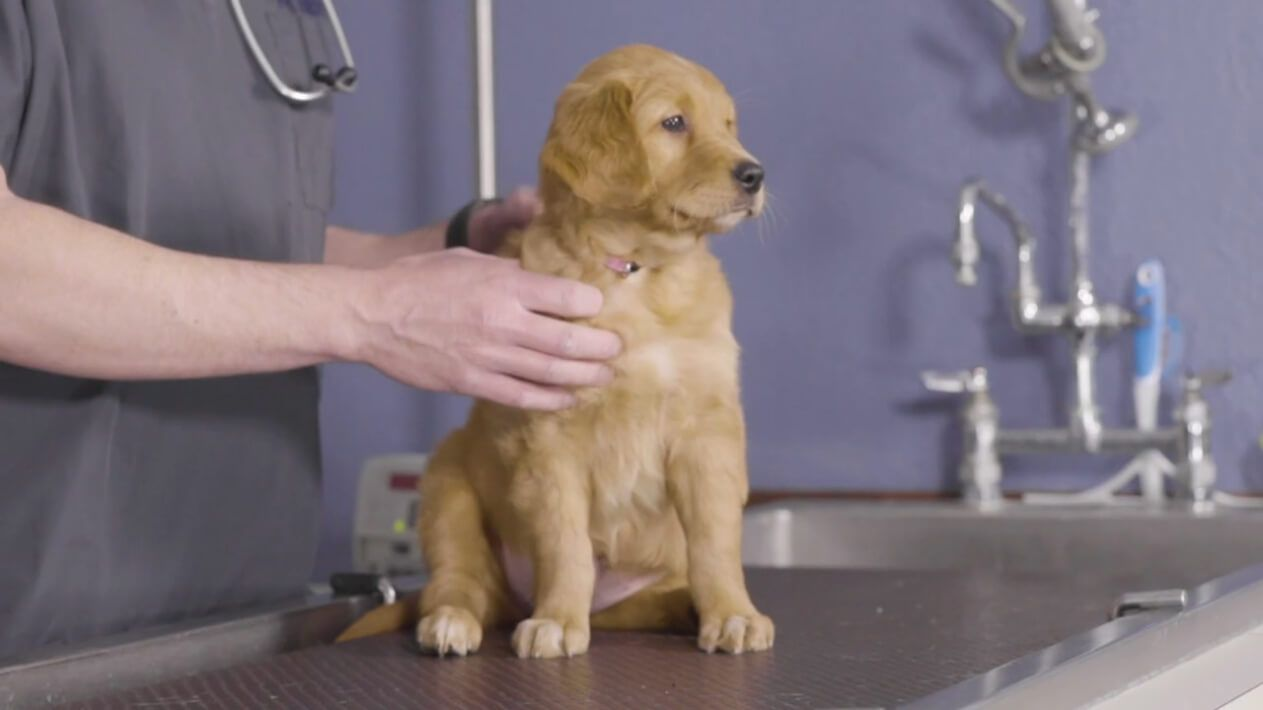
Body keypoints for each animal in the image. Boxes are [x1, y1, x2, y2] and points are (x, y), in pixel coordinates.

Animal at [335, 44, 767, 656]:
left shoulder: (708, 432)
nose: (754, 174)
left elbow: (715, 541)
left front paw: (733, 614)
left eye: (729, 125)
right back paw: (452, 622)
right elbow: (566, 546)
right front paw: (559, 620)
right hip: (448, 484)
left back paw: (682, 606)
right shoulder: (549, 438)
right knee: (460, 580)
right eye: (674, 123)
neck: (636, 272)